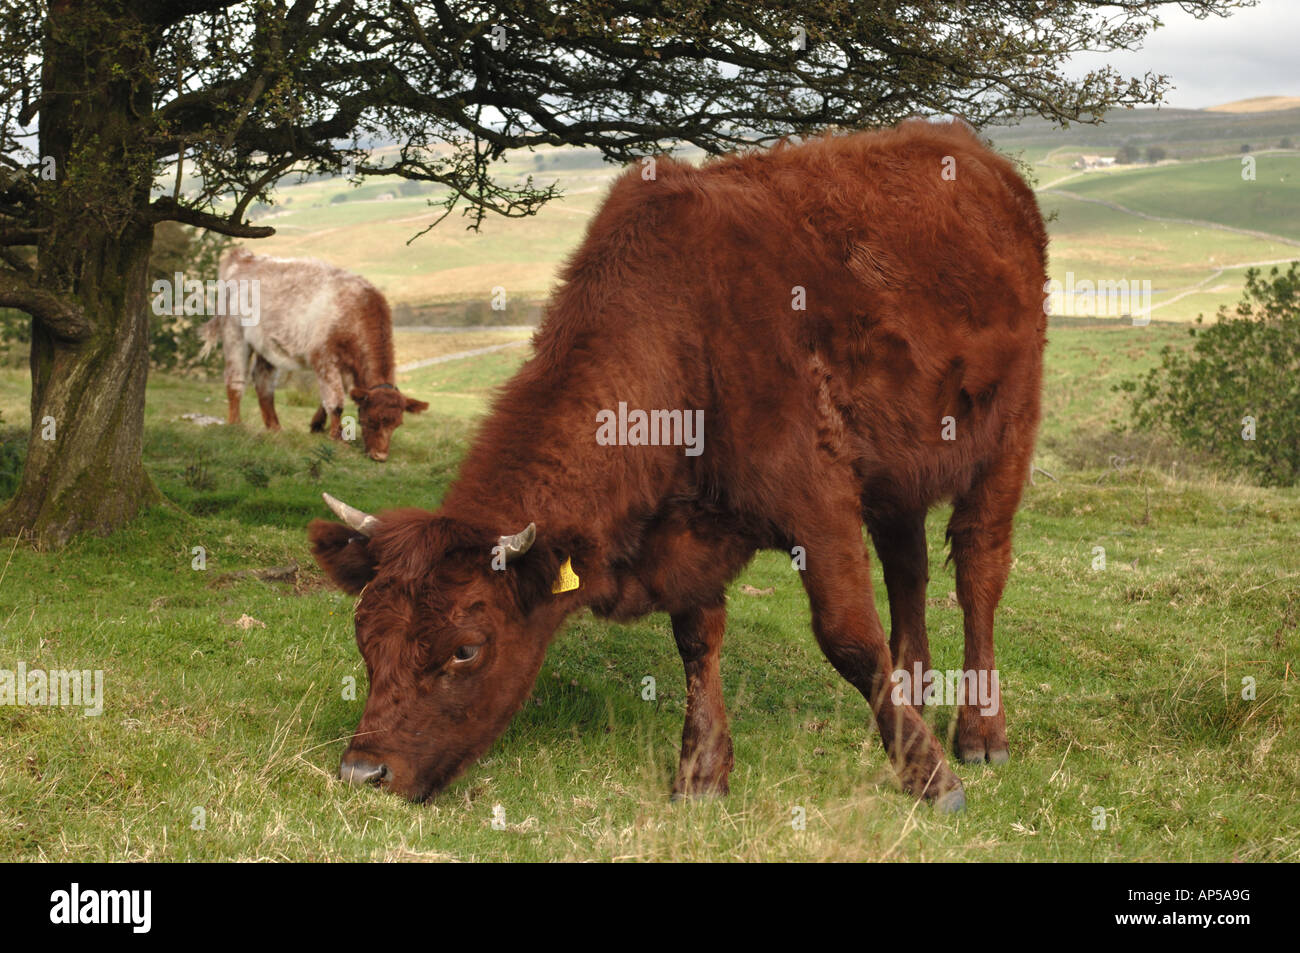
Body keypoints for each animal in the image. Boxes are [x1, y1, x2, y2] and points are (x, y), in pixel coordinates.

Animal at [199, 249, 428, 461]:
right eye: (369, 419)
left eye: (398, 423)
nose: (379, 456)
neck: (355, 312)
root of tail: (244, 257)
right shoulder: (324, 358)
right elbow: (336, 402)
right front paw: (338, 439)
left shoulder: (345, 367)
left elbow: (331, 397)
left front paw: (317, 426)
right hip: (234, 334)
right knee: (235, 380)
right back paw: (235, 424)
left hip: (267, 345)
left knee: (263, 382)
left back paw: (275, 428)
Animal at [310, 120, 1048, 812]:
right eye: (365, 635)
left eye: (466, 647)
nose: (363, 772)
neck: (688, 332)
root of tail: (971, 153)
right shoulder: (690, 525)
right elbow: (697, 639)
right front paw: (701, 772)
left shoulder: (819, 503)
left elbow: (849, 640)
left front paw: (931, 778)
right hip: (899, 473)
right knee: (909, 570)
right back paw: (914, 695)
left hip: (1005, 437)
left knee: (979, 572)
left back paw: (979, 733)